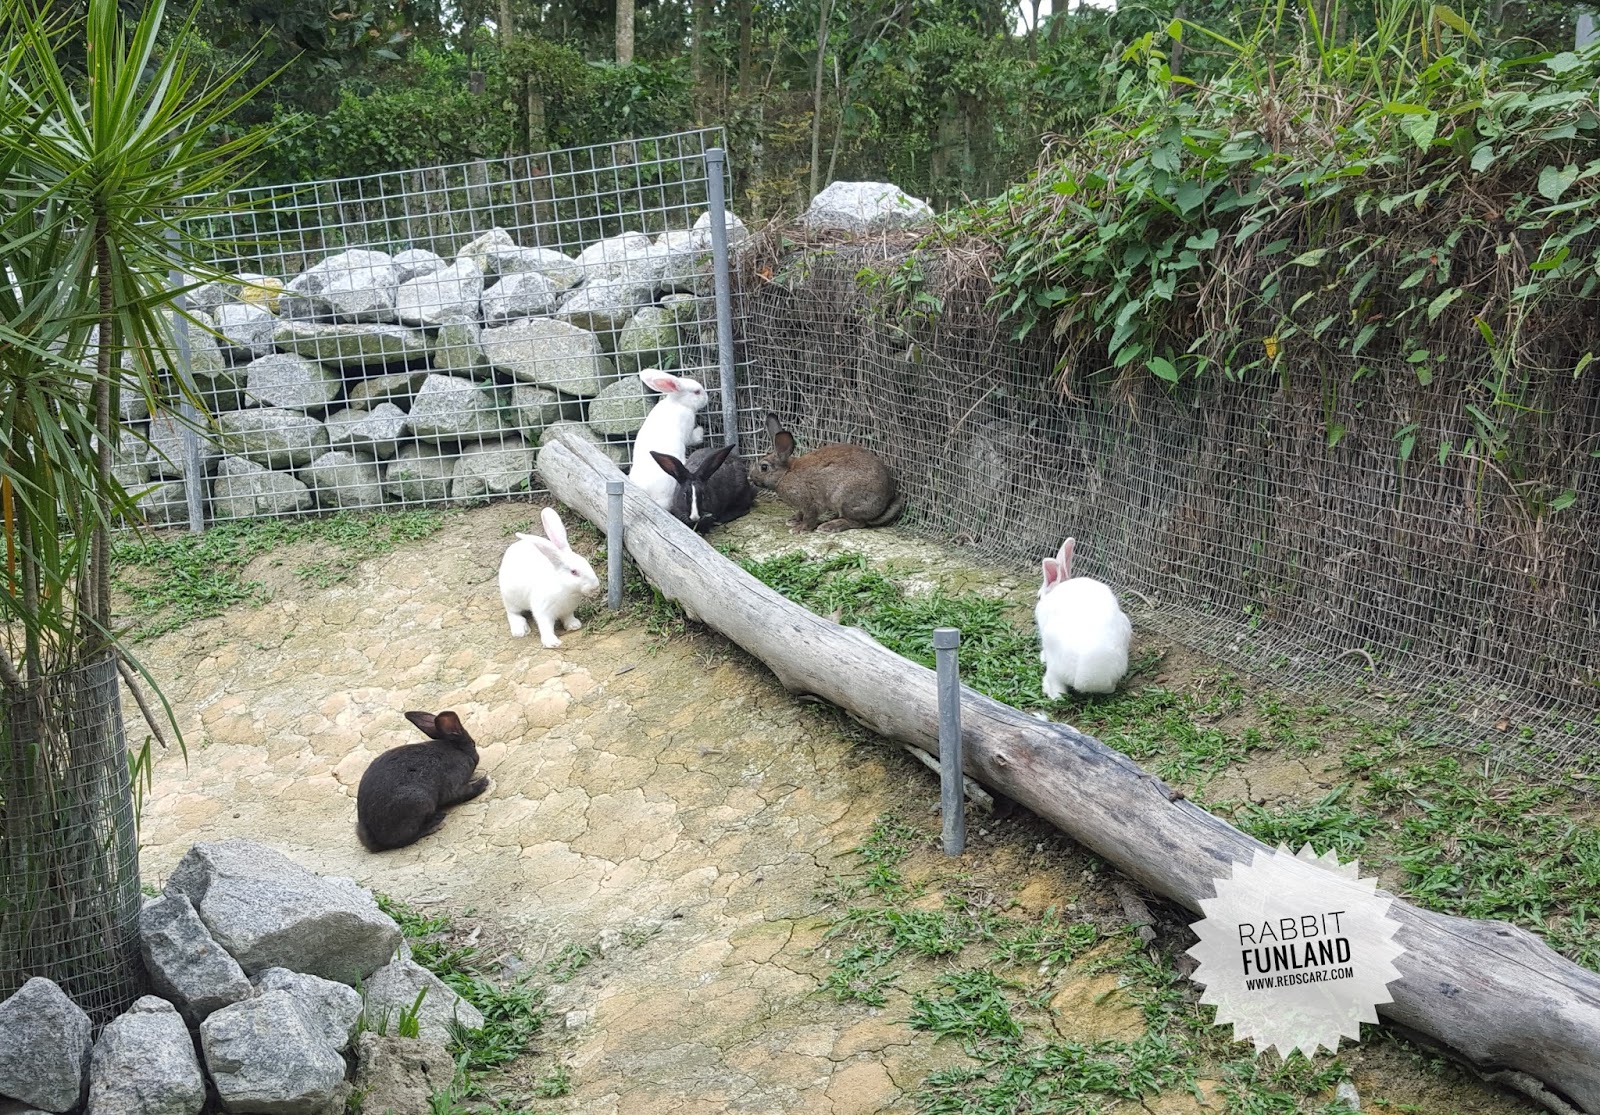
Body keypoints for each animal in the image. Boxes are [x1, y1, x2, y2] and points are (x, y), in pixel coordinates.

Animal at [356, 710, 489, 852]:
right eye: (473, 744)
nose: (477, 755)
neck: (458, 750)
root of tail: (372, 838)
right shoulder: (455, 785)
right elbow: (464, 793)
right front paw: (483, 782)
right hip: (420, 802)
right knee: (406, 838)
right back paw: (436, 822)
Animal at [497, 506, 600, 647]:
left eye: (587, 563)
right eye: (574, 572)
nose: (595, 586)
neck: (566, 590)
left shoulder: (568, 610)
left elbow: (568, 617)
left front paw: (574, 626)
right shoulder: (543, 611)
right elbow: (545, 626)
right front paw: (552, 643)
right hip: (511, 599)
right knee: (512, 613)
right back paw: (520, 630)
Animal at [627, 369, 709, 511]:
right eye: (697, 392)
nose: (706, 398)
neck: (678, 403)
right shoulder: (687, 429)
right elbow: (692, 439)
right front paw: (701, 431)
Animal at [750, 413, 904, 532]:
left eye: (764, 467)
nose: (751, 478)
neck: (785, 474)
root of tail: (882, 507)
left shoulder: (809, 501)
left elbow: (809, 516)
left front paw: (800, 529)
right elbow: (801, 513)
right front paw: (793, 520)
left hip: (844, 500)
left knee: (858, 523)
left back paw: (829, 526)